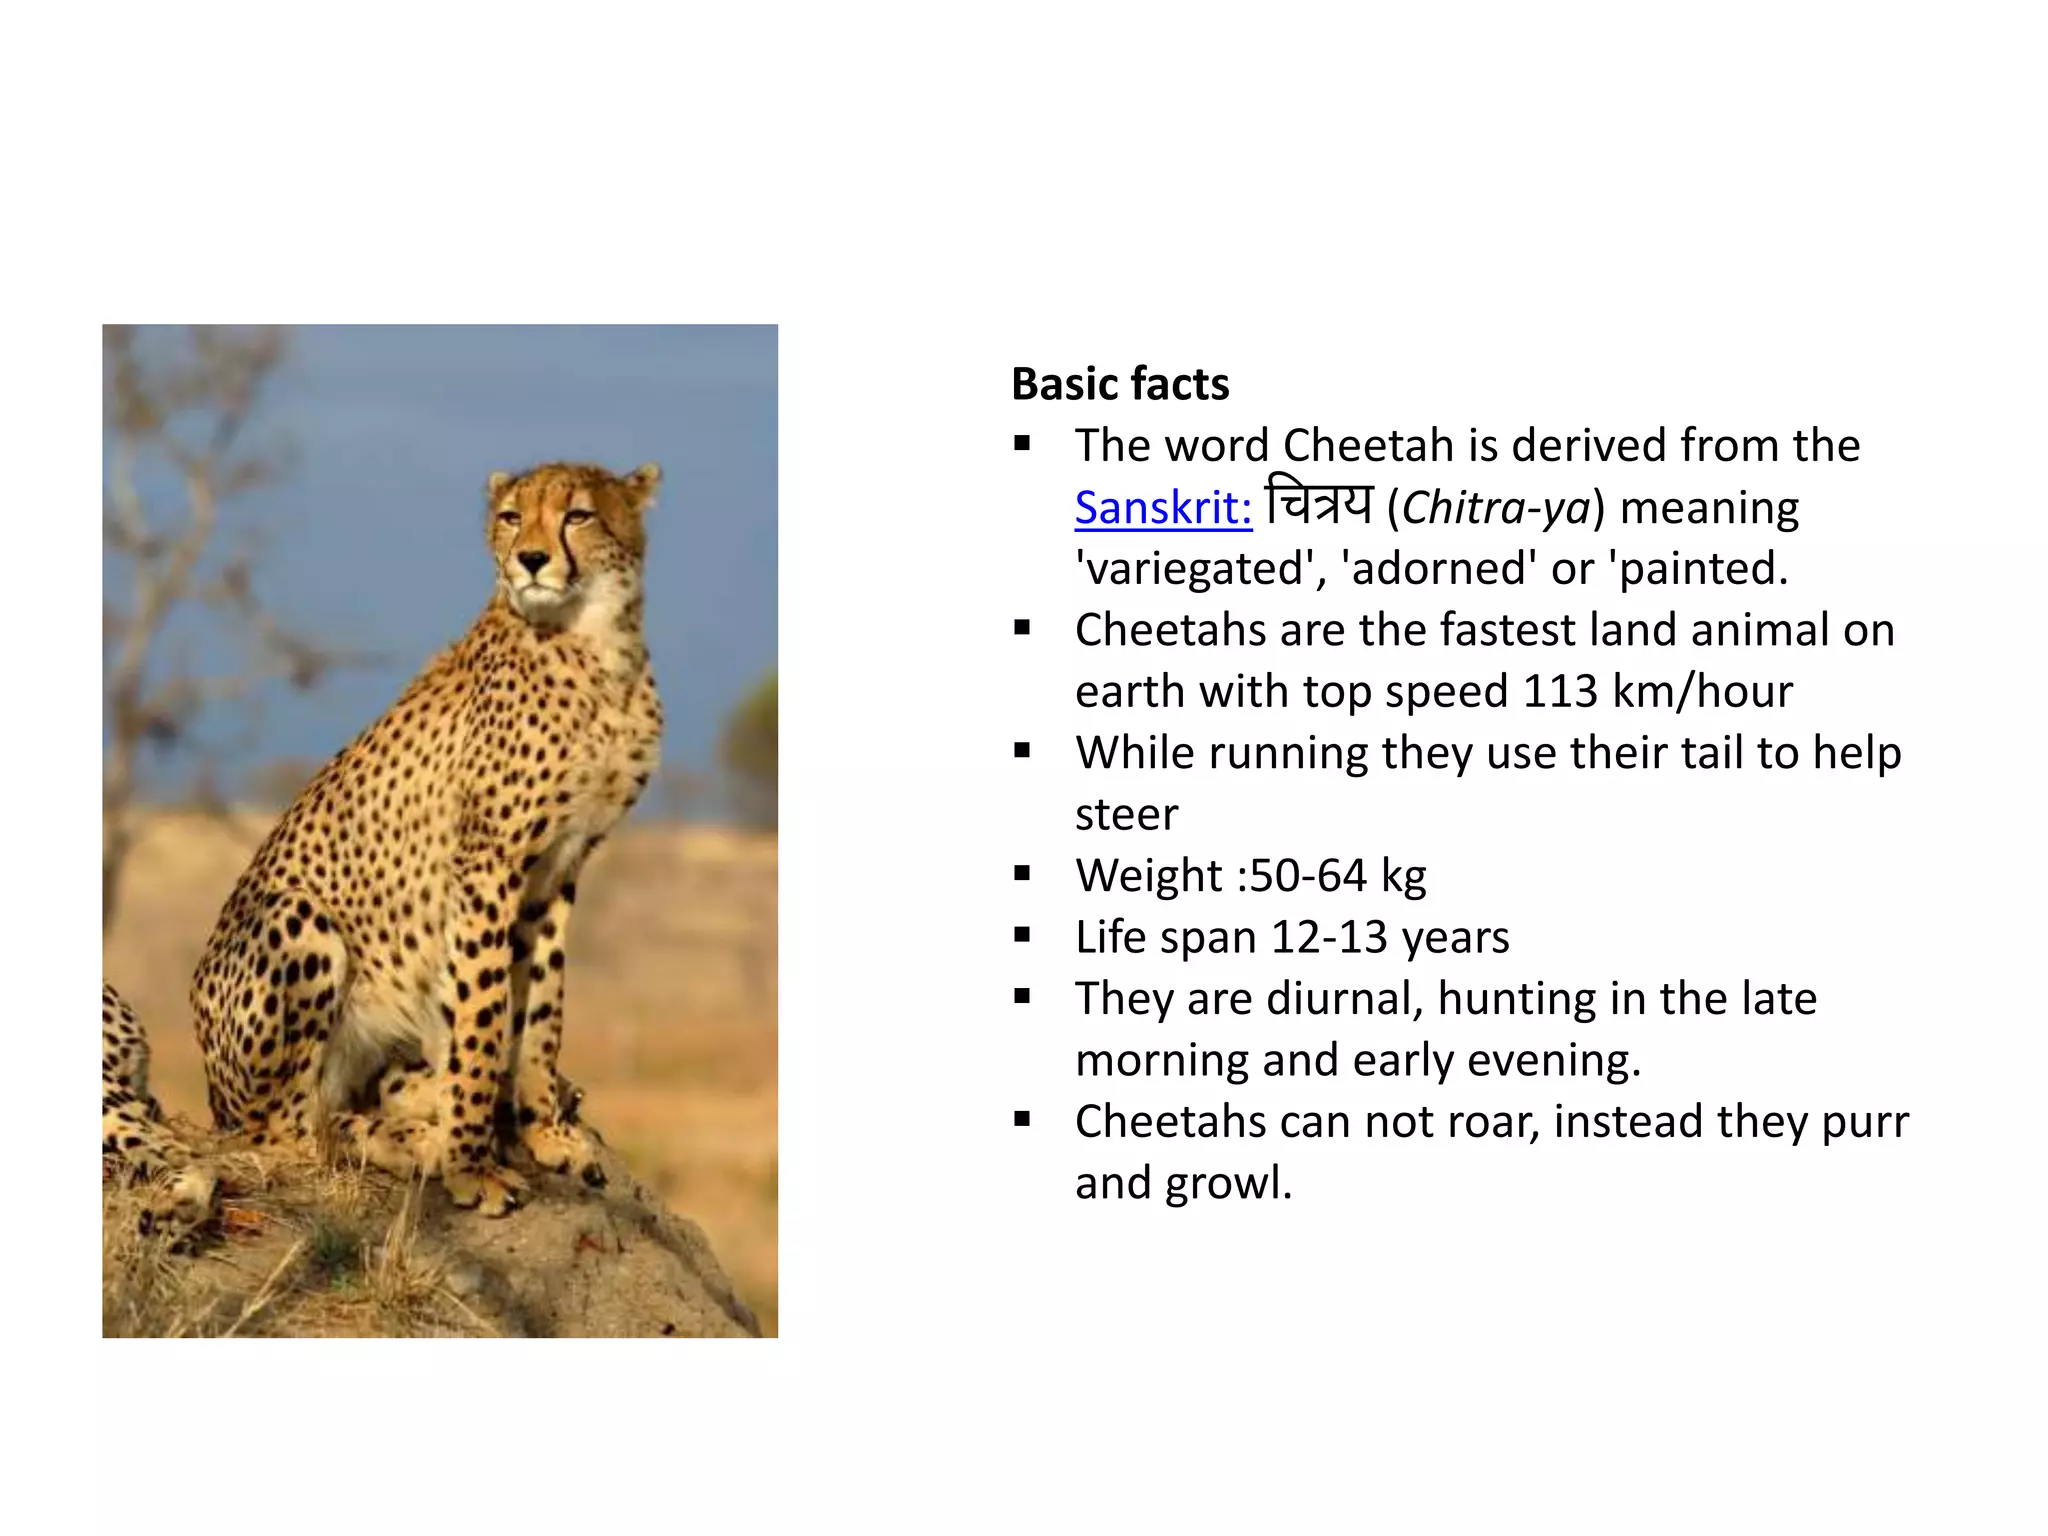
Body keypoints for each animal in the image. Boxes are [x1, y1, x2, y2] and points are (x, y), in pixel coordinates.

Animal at [185, 460, 665, 1216]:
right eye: (510, 516)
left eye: (578, 515)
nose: (531, 559)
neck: (596, 644)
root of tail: (212, 1096)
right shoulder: (487, 865)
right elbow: (483, 1014)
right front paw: (471, 1165)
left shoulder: (558, 869)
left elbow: (542, 1011)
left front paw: (545, 1132)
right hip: (297, 919)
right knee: (298, 1133)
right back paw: (416, 1139)